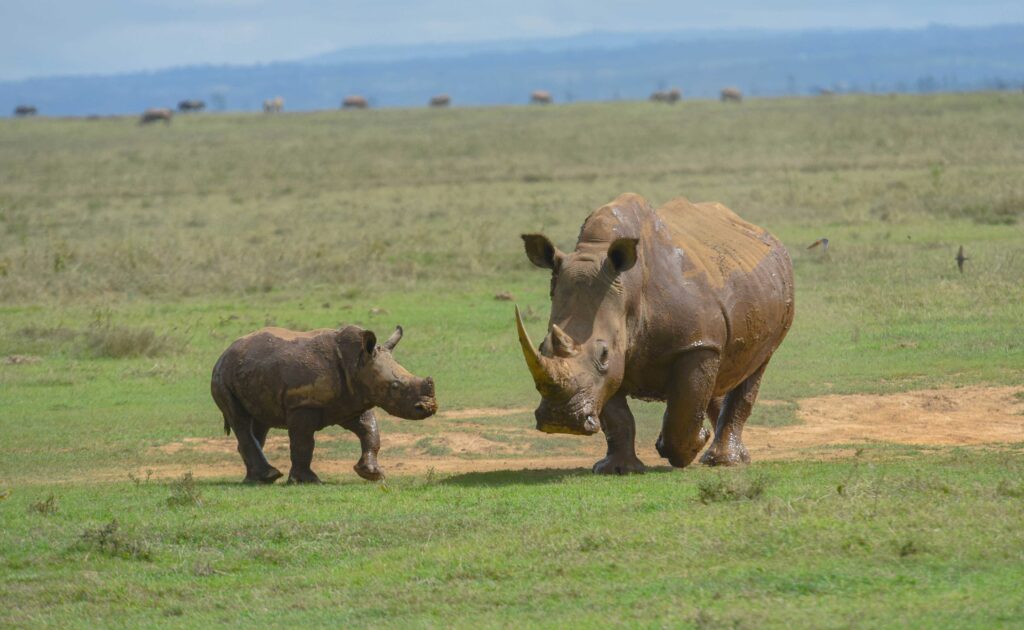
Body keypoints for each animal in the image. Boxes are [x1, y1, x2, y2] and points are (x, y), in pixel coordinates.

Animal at [211, 325, 437, 484]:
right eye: (395, 386)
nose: (429, 408)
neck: (358, 363)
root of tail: (225, 352)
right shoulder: (303, 403)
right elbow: (303, 442)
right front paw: (307, 481)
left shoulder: (351, 401)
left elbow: (370, 431)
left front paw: (373, 474)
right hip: (221, 377)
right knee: (240, 420)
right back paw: (268, 477)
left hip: (251, 372)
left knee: (258, 423)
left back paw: (257, 479)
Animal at [517, 193, 794, 474]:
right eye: (541, 348)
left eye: (603, 354)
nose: (560, 419)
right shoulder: (615, 360)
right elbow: (617, 416)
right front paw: (617, 469)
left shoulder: (696, 344)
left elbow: (684, 409)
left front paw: (688, 448)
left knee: (755, 367)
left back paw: (725, 461)